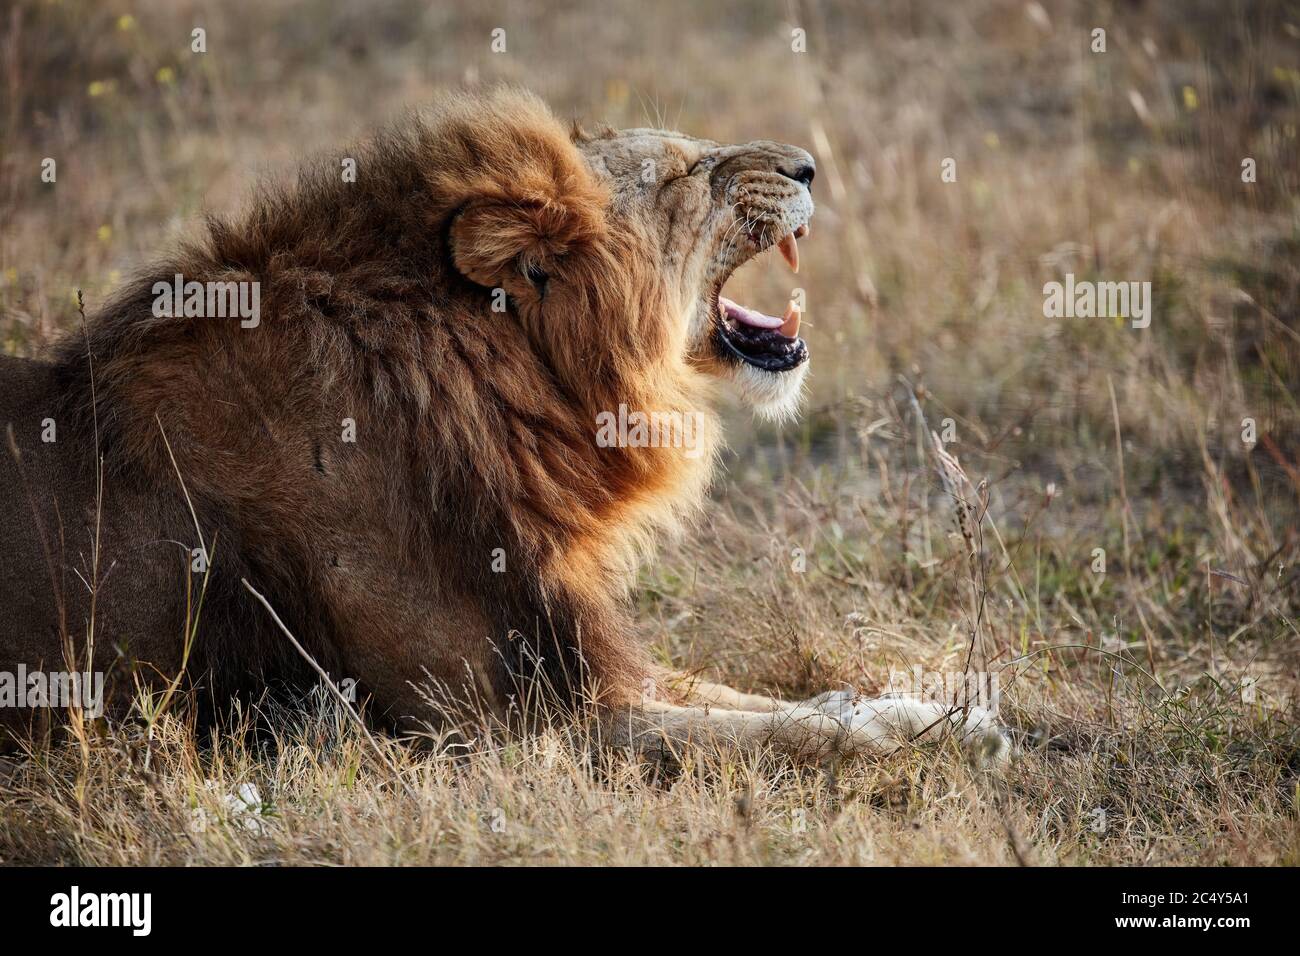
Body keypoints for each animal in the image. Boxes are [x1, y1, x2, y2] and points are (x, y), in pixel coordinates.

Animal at [0, 88, 1003, 760]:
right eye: (683, 172)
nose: (807, 165)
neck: (525, 392)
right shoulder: (489, 722)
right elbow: (761, 733)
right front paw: (909, 742)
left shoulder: (570, 649)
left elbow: (767, 699)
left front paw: (941, 712)